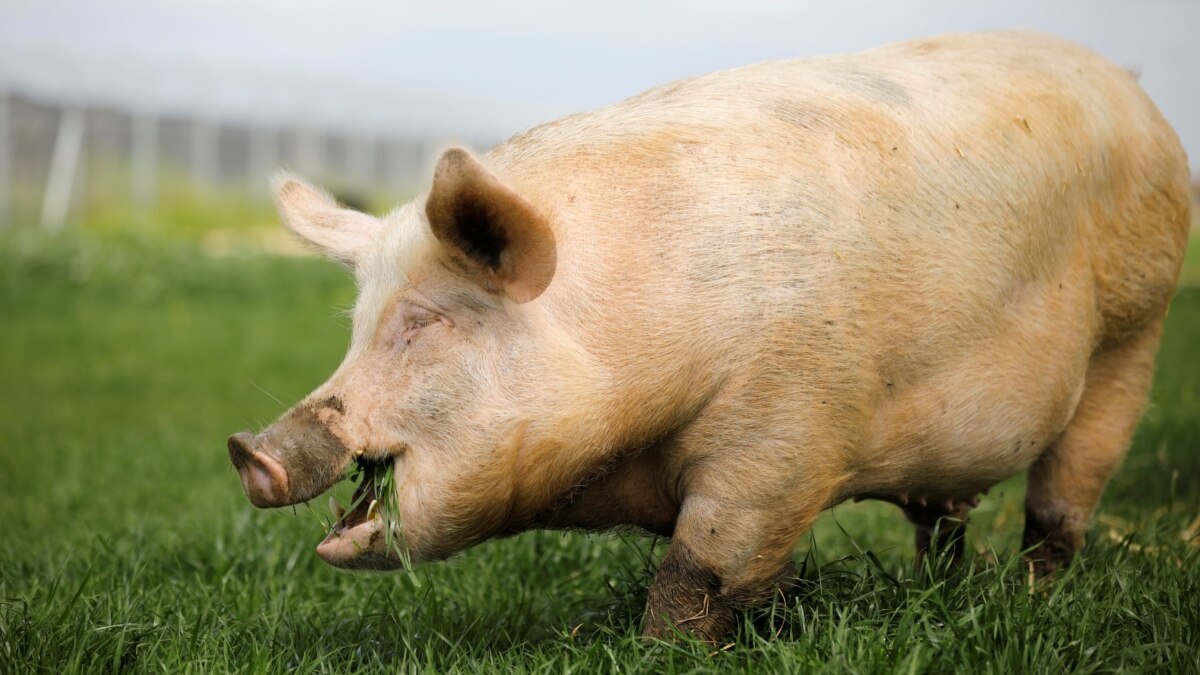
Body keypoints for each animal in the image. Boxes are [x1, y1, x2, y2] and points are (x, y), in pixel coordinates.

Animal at [227, 30, 1190, 641]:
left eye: (426, 322)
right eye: (358, 324)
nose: (250, 448)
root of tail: (1136, 93)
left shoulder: (787, 429)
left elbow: (702, 569)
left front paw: (666, 650)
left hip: (1136, 330)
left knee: (1062, 501)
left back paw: (1032, 597)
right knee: (945, 517)